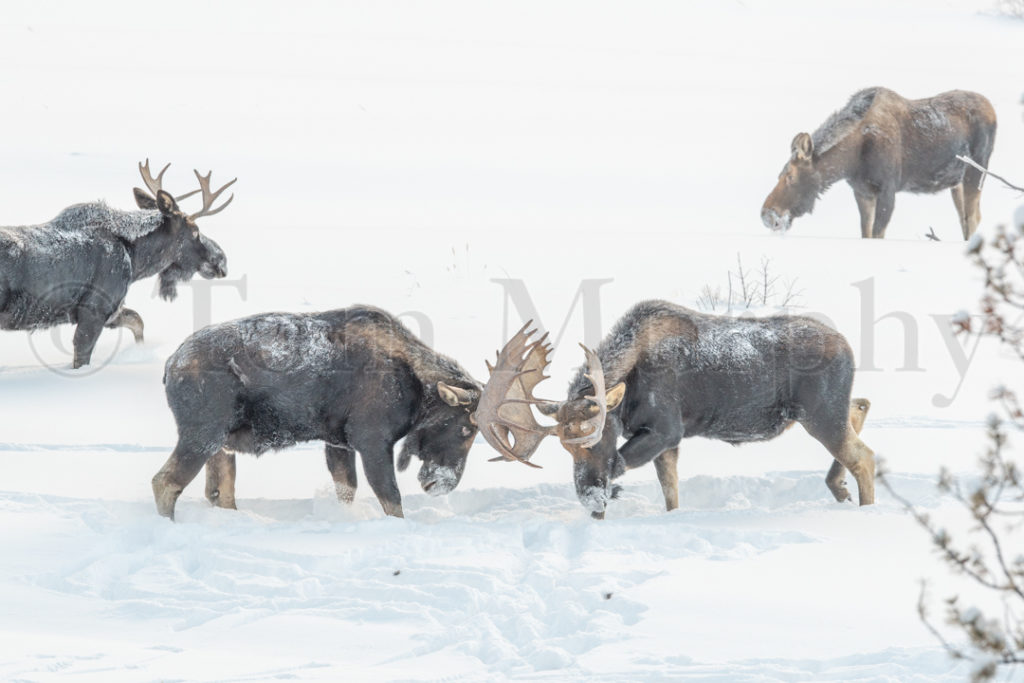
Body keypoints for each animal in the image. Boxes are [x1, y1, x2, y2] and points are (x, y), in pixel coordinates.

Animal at [0, 160, 234, 368]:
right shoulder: (95, 310)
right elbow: (82, 356)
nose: (221, 261)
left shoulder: (111, 311)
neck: (136, 261)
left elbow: (137, 321)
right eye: (195, 231)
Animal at [153, 306, 484, 520]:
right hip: (202, 434)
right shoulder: (372, 440)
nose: (444, 483)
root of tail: (169, 366)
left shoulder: (338, 442)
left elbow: (347, 489)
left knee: (219, 491)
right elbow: (391, 499)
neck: (416, 390)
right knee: (165, 482)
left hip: (221, 443)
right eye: (465, 429)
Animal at [475, 300, 876, 519]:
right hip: (825, 410)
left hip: (820, 412)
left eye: (596, 437)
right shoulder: (665, 439)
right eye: (564, 447)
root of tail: (850, 349)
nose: (588, 496)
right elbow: (670, 491)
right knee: (861, 406)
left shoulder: (666, 429)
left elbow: (619, 465)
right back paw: (840, 490)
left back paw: (864, 508)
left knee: (864, 455)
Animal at [761, 87, 996, 239]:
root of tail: (993, 110)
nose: (767, 215)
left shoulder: (887, 190)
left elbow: (877, 234)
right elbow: (866, 233)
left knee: (973, 218)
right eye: (780, 174)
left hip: (976, 171)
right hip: (956, 182)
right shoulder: (862, 191)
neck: (851, 160)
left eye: (790, 176)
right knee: (966, 219)